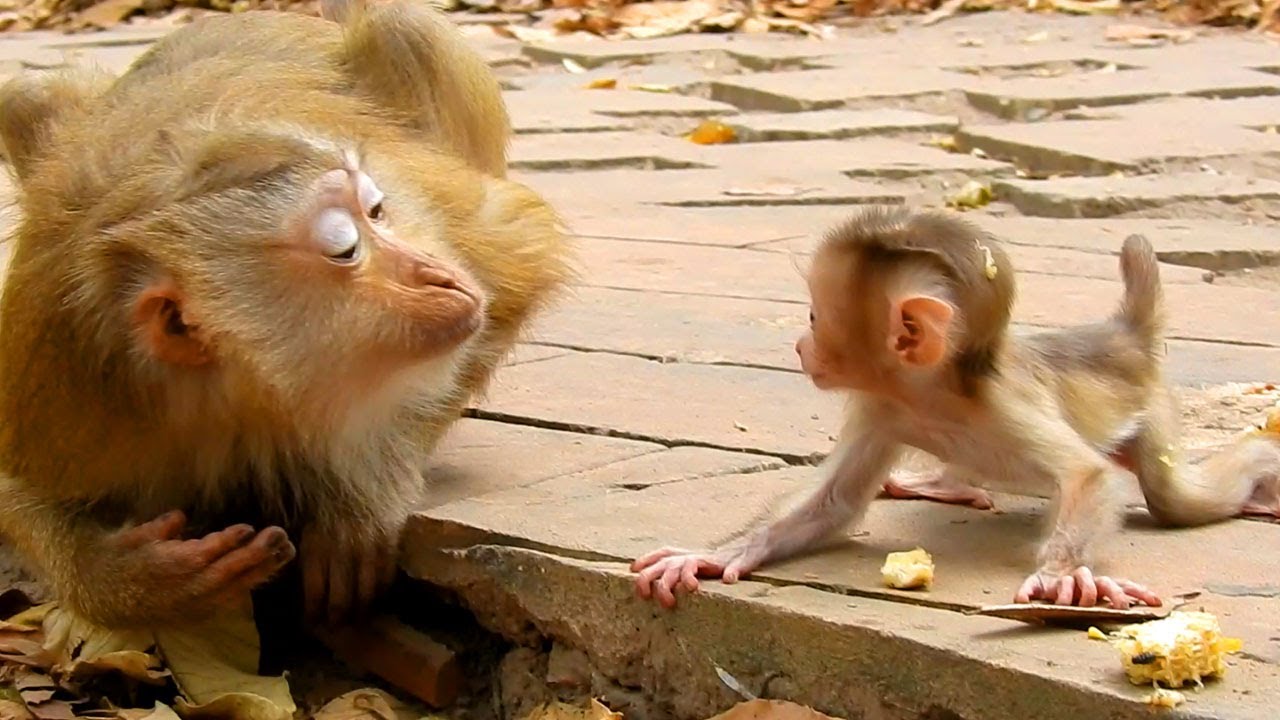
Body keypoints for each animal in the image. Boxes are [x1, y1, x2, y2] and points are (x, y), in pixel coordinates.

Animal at [0, 0, 573, 630]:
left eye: (378, 211)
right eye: (347, 249)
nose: (440, 275)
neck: (239, 388)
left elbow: (518, 262)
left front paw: (356, 504)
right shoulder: (71, 381)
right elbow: (16, 483)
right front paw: (128, 580)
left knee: (404, 28)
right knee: (24, 94)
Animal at [632, 206, 1280, 610]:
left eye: (815, 316)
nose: (799, 346)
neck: (933, 393)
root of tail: (1122, 337)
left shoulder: (1002, 404)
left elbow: (1087, 476)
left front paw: (1062, 576)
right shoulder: (881, 407)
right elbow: (832, 503)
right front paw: (717, 556)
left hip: (1152, 405)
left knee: (1176, 499)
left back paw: (1260, 468)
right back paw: (944, 483)